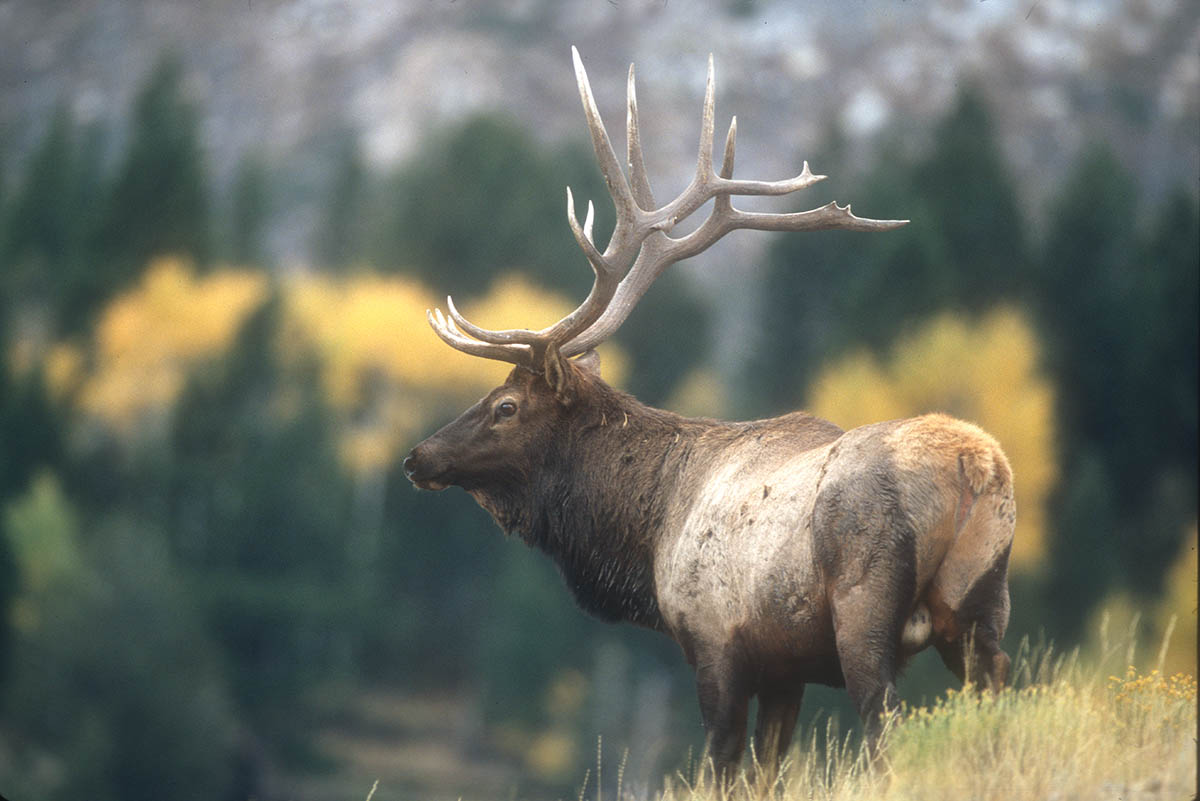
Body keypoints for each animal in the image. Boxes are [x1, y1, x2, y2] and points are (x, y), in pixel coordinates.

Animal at [403, 48, 1015, 785]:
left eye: (506, 405)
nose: (417, 456)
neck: (647, 531)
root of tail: (974, 465)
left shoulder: (716, 640)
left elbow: (722, 763)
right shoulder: (786, 665)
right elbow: (767, 768)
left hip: (865, 608)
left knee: (883, 726)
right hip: (984, 604)